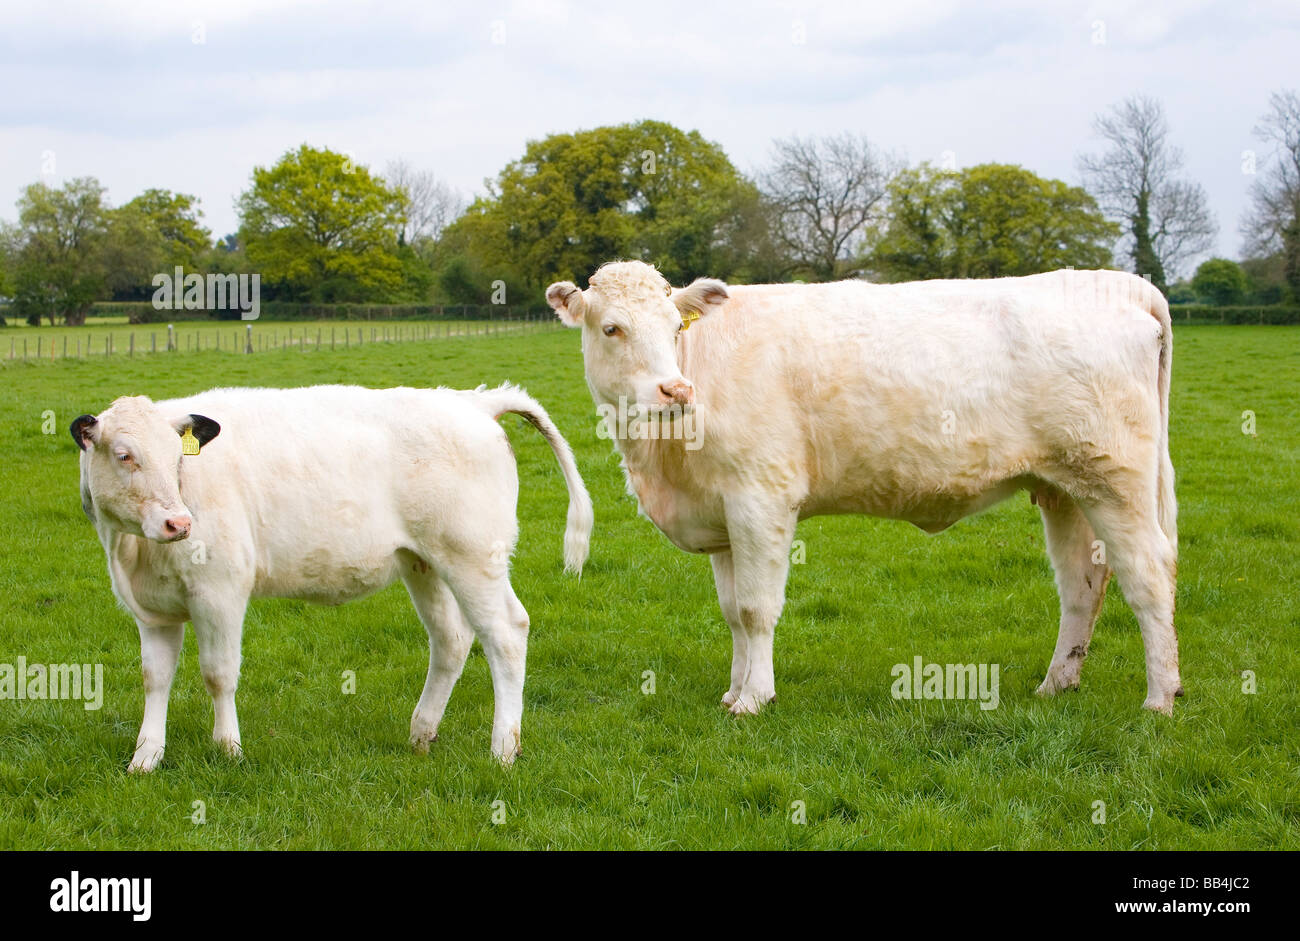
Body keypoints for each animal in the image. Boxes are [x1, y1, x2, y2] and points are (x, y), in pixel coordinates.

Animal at [71, 383, 593, 771]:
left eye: (178, 458)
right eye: (124, 455)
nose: (178, 523)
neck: (133, 552)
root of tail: (472, 401)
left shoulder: (220, 591)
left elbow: (218, 674)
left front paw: (228, 749)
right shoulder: (152, 611)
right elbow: (154, 678)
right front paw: (146, 757)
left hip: (474, 558)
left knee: (506, 634)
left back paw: (503, 747)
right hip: (424, 562)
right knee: (452, 639)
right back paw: (421, 733)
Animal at [548, 261, 1181, 717]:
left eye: (674, 326)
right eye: (611, 328)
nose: (674, 390)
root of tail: (1118, 283)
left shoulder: (761, 498)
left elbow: (756, 608)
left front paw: (753, 699)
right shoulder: (721, 514)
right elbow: (731, 612)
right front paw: (734, 689)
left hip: (1114, 479)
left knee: (1149, 576)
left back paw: (1160, 698)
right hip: (1064, 488)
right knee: (1081, 586)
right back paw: (1056, 684)